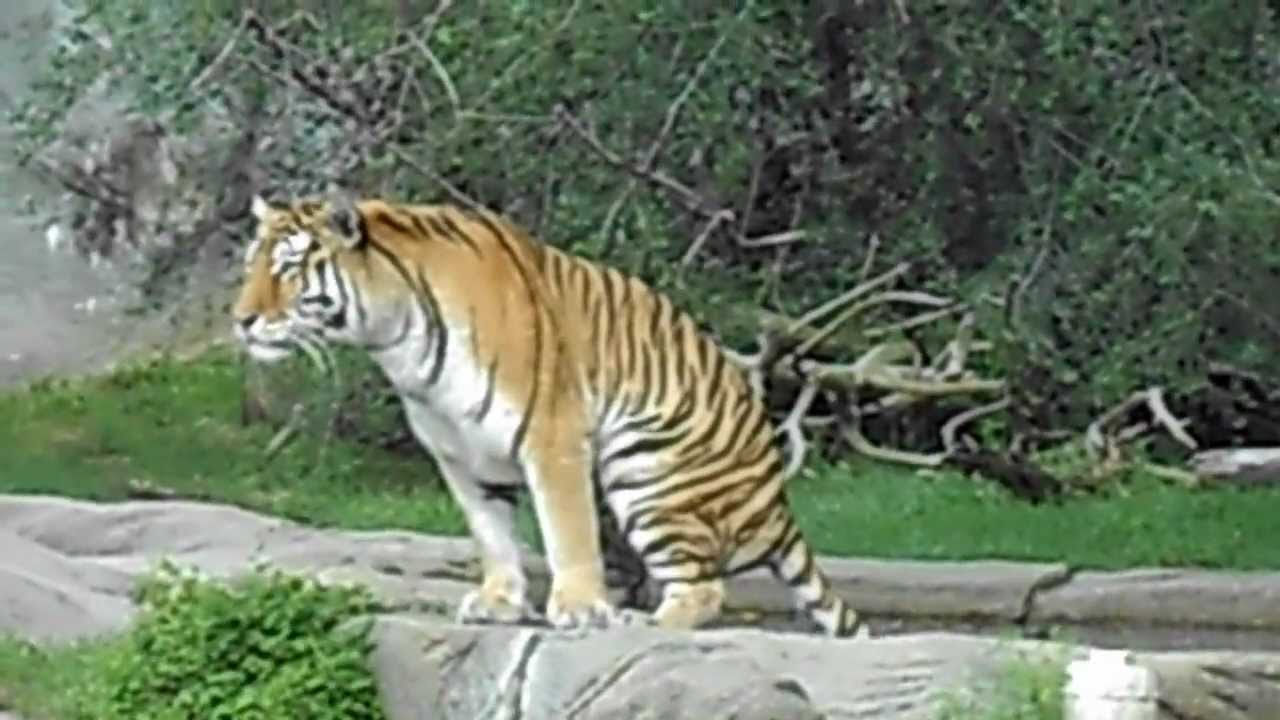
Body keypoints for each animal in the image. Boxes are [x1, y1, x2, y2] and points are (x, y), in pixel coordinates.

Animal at [231, 190, 868, 638]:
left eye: (288, 269)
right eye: (249, 268)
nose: (241, 320)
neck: (394, 336)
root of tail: (778, 504)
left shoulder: (552, 435)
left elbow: (567, 530)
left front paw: (580, 610)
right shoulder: (457, 454)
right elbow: (492, 533)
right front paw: (499, 602)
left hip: (649, 476)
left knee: (705, 590)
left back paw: (639, 621)